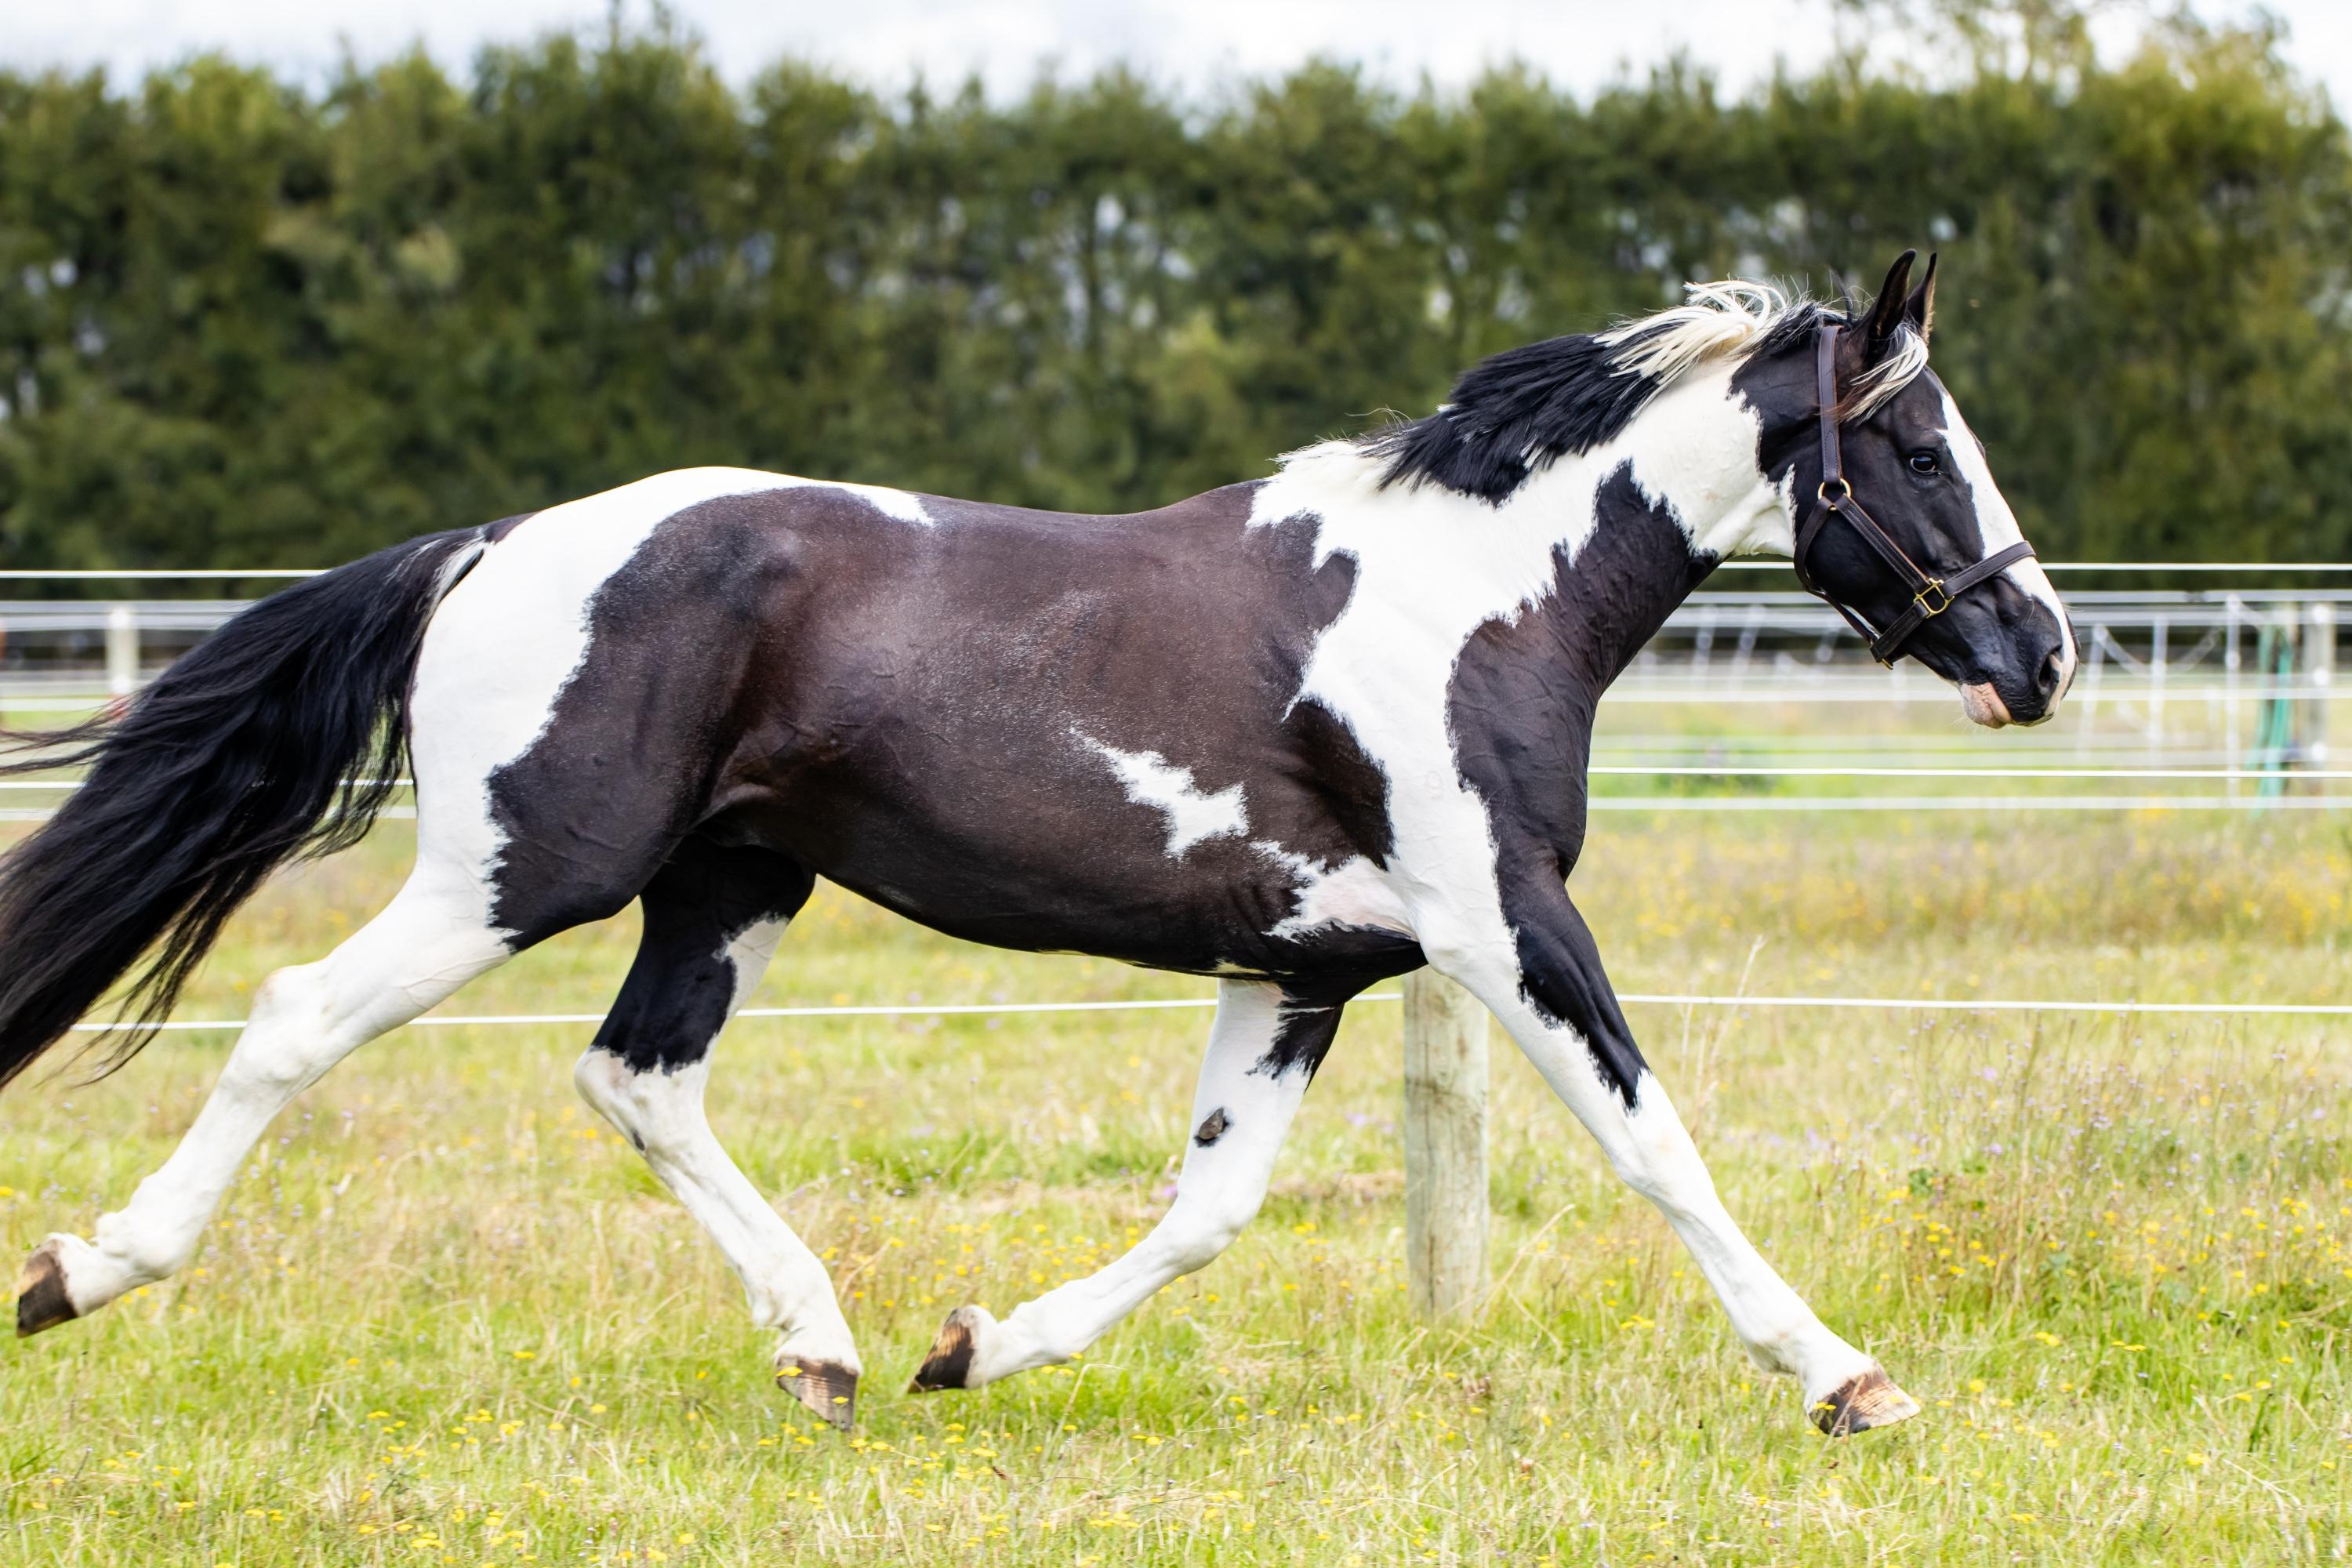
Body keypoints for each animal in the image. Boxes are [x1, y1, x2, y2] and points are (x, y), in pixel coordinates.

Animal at [0, 250, 2072, 1436]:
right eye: (1919, 453)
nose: (2038, 652)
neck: (1473, 602)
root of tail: (494, 544)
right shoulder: (1499, 924)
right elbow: (1658, 1146)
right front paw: (1847, 1378)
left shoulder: (1307, 965)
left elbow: (1209, 1207)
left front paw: (970, 1347)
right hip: (522, 870)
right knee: (297, 1016)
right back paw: (81, 1272)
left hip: (732, 879)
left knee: (638, 1077)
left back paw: (829, 1351)